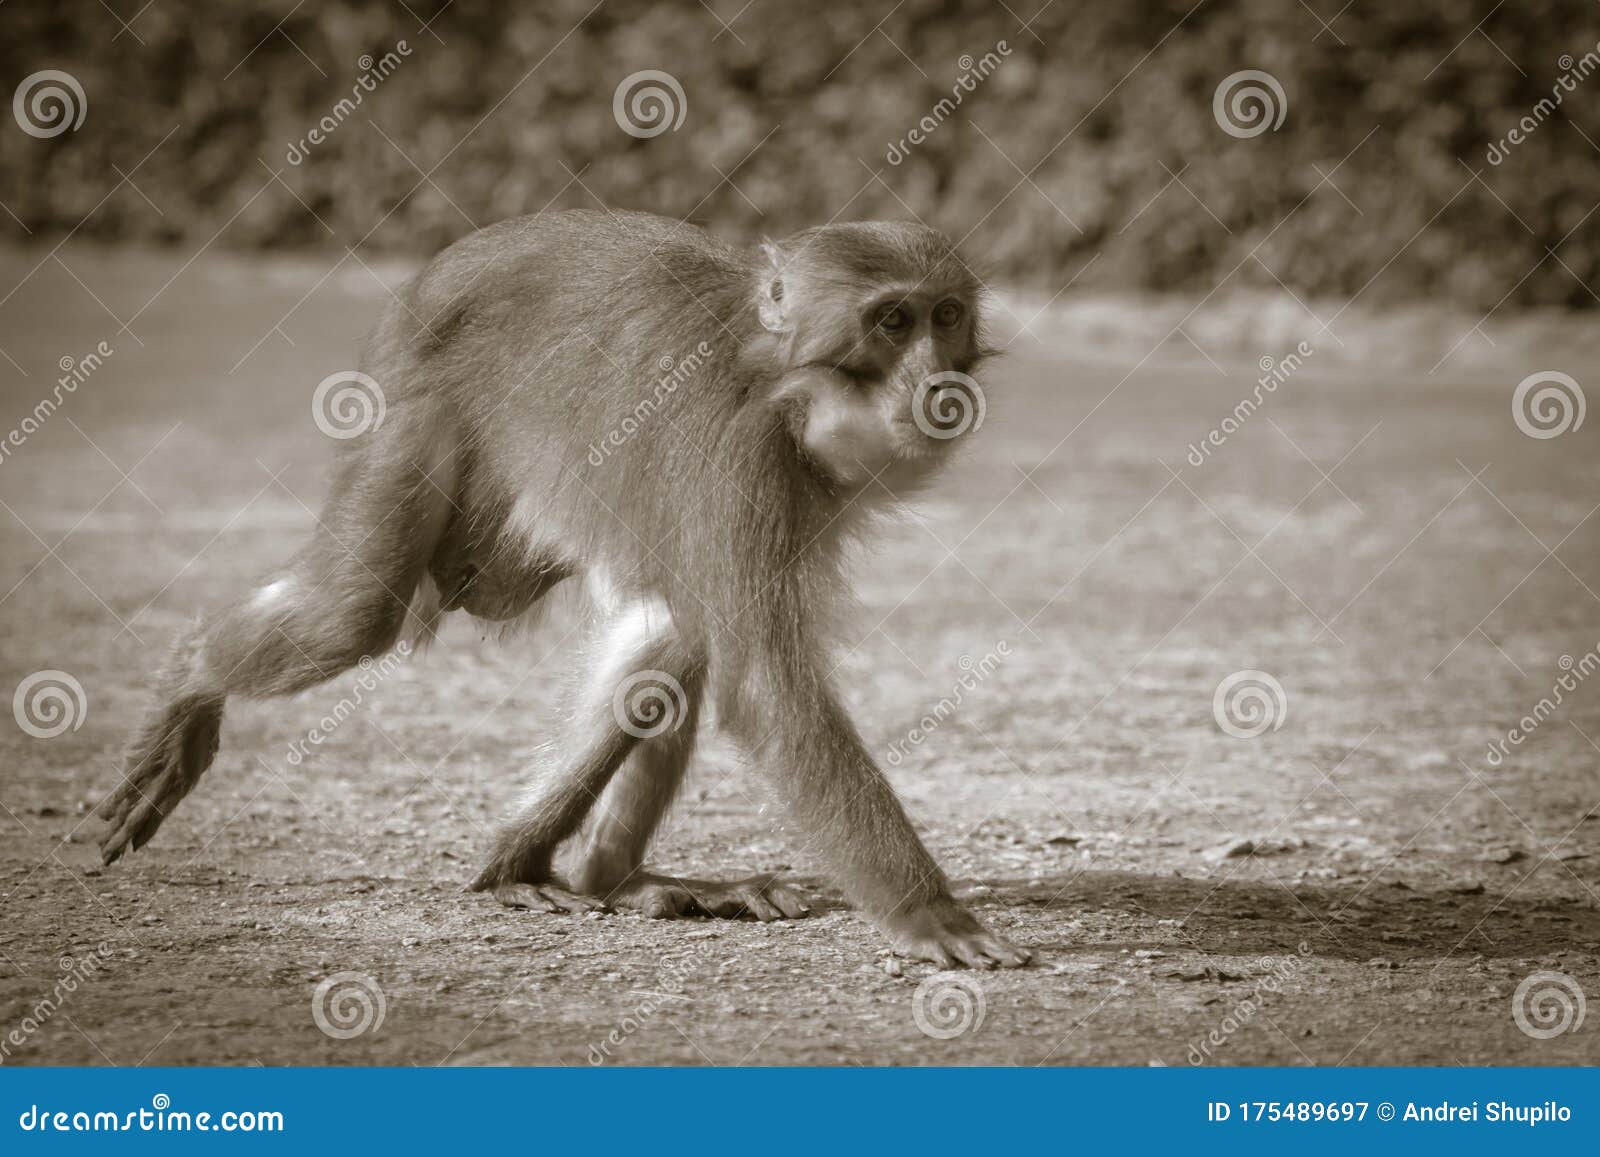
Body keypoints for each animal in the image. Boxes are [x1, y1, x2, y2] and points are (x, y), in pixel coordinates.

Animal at [95, 209, 1031, 970]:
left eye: (946, 316)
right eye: (892, 320)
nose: (939, 378)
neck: (787, 383)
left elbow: (676, 637)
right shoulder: (741, 460)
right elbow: (767, 685)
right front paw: (927, 911)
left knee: (665, 636)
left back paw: (575, 874)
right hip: (412, 411)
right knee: (353, 613)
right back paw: (189, 679)